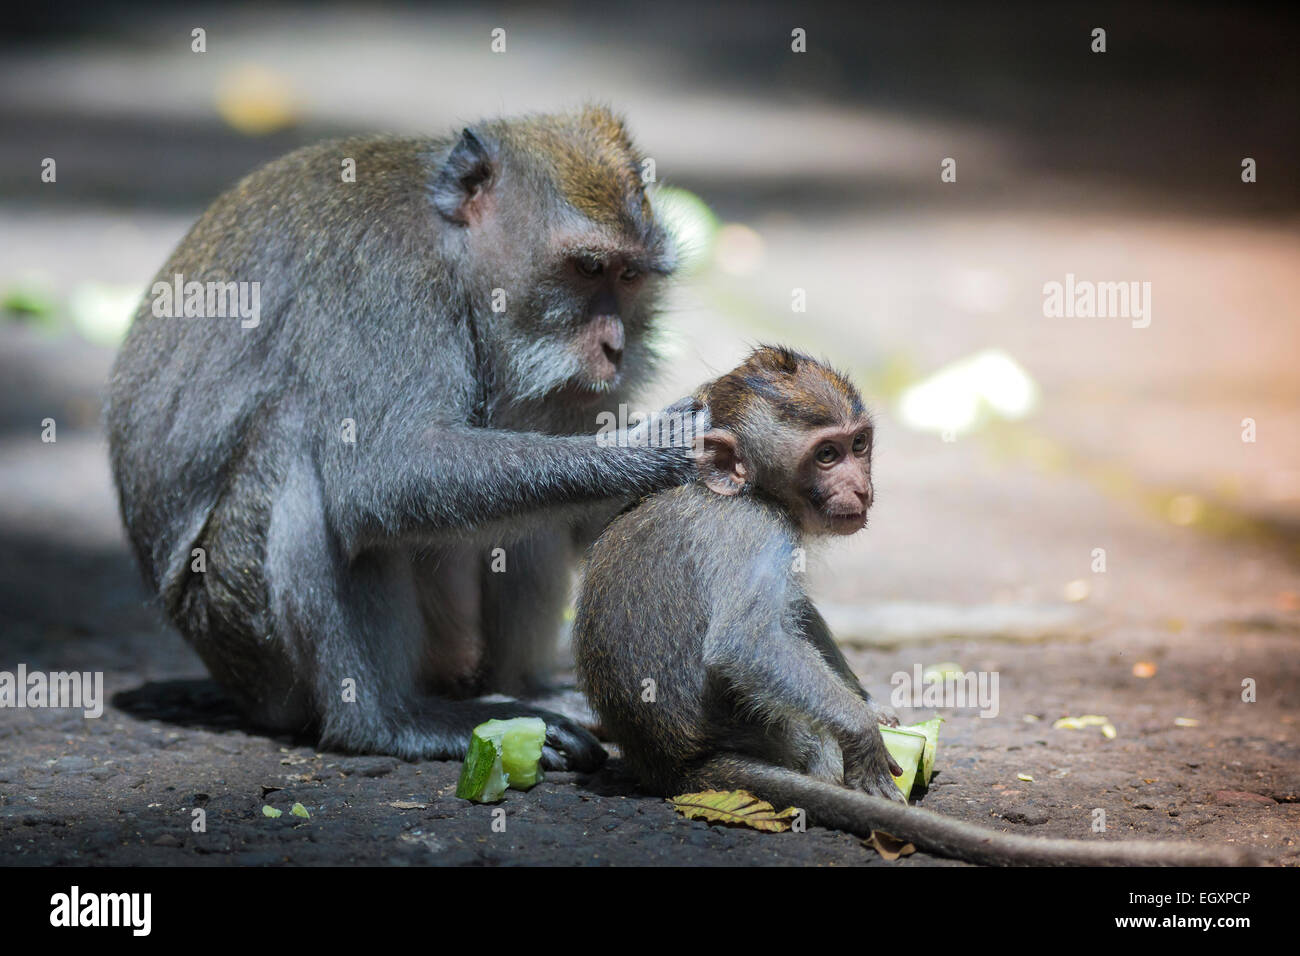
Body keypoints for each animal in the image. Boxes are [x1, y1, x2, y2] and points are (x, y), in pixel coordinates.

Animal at [106, 106, 709, 770]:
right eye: (589, 267)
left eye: (629, 276)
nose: (615, 348)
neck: (451, 247)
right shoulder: (384, 278)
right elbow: (380, 475)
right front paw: (655, 447)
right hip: (246, 637)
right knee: (309, 463)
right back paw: (390, 724)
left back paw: (522, 691)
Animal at [574, 346, 1257, 865]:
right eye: (826, 455)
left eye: (858, 445)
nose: (859, 486)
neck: (748, 490)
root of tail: (673, 766)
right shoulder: (754, 529)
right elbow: (747, 642)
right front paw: (861, 731)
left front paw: (868, 703)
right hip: (772, 733)